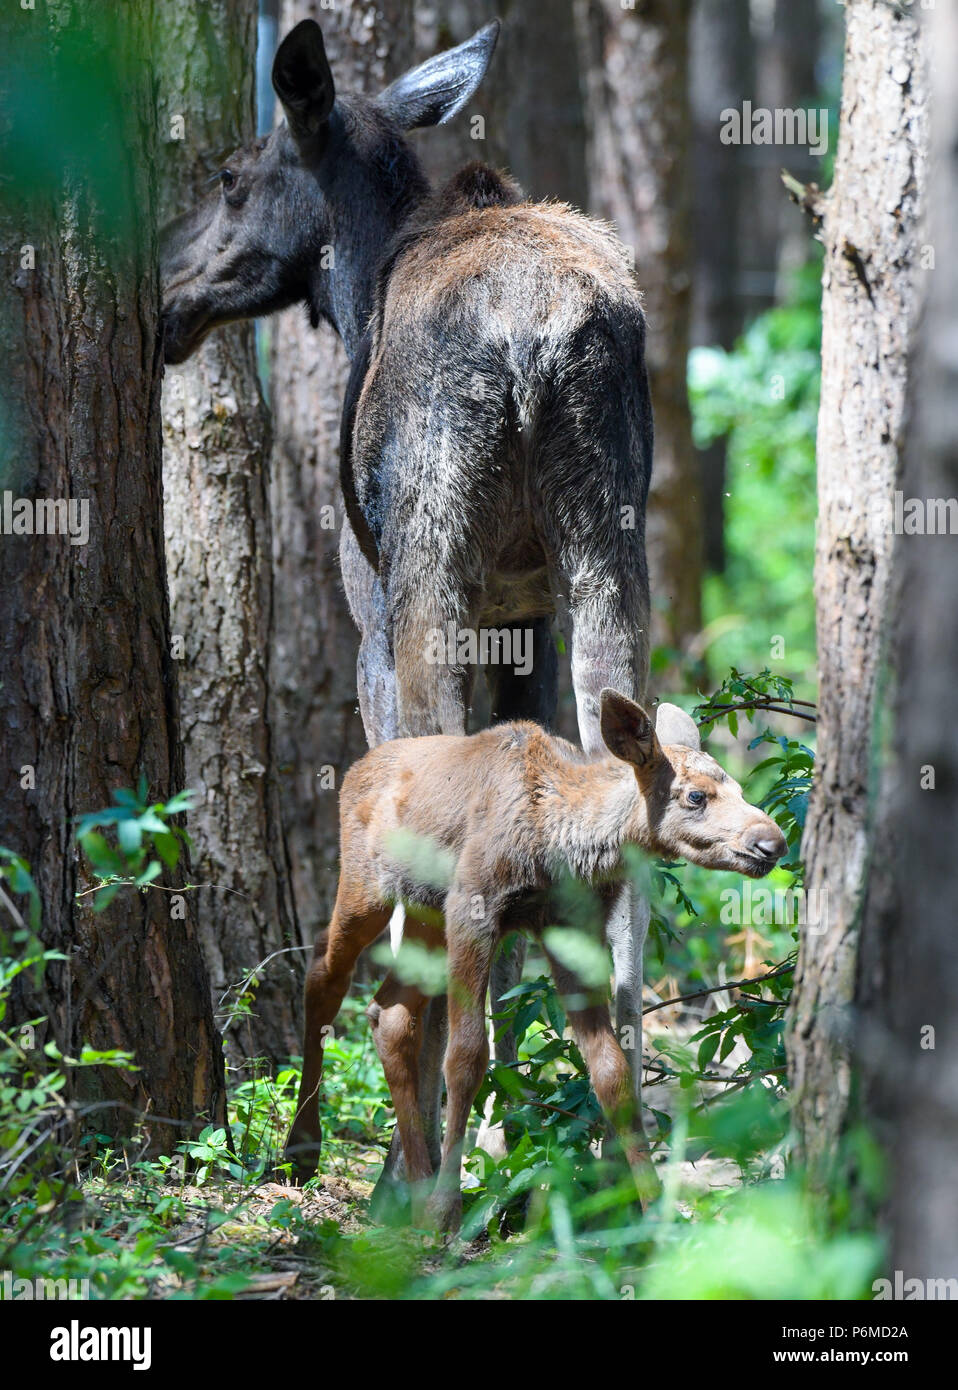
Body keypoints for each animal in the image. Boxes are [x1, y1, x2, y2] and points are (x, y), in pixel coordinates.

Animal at [160, 19, 655, 1203]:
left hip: (425, 572)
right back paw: (628, 1144)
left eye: (233, 177)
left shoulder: (374, 618)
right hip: (608, 555)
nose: (162, 284)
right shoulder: (525, 617)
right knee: (639, 767)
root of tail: (538, 336)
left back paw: (416, 1164)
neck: (354, 284)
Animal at [285, 692, 786, 1231]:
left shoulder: (570, 930)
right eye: (695, 796)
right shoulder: (473, 907)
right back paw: (302, 1152)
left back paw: (412, 1192)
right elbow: (466, 1057)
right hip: (367, 888)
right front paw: (446, 1211)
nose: (772, 842)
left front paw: (655, 1214)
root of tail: (356, 768)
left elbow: (611, 1071)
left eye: (739, 788)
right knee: (323, 971)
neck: (562, 842)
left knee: (390, 1013)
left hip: (424, 914)